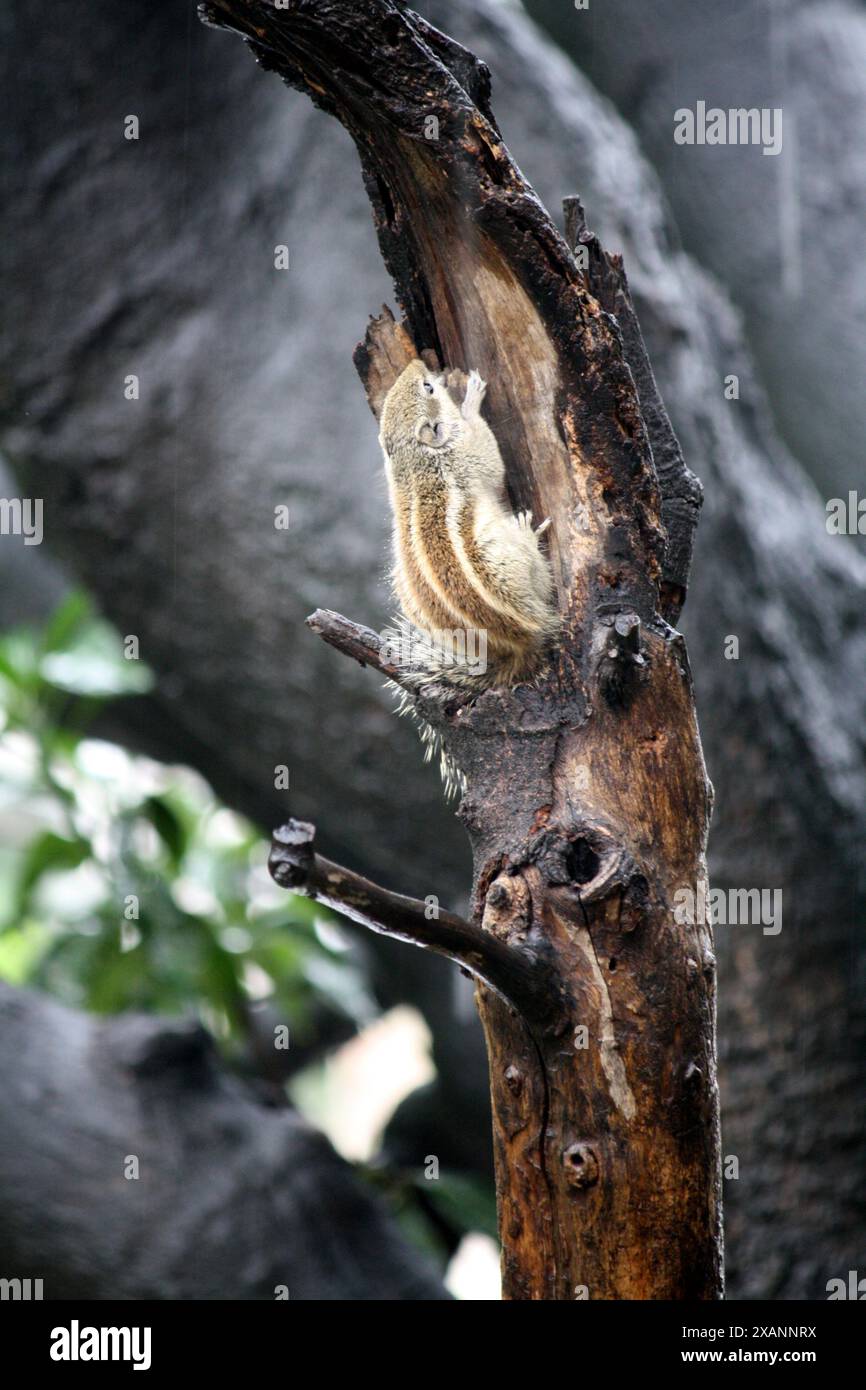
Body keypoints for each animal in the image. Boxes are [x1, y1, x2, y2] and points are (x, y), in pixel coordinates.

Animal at [378, 358, 559, 692]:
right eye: (428, 387)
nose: (417, 362)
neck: (416, 459)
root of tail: (517, 640)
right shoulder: (470, 452)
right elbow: (489, 451)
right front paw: (471, 400)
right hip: (509, 560)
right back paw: (527, 533)